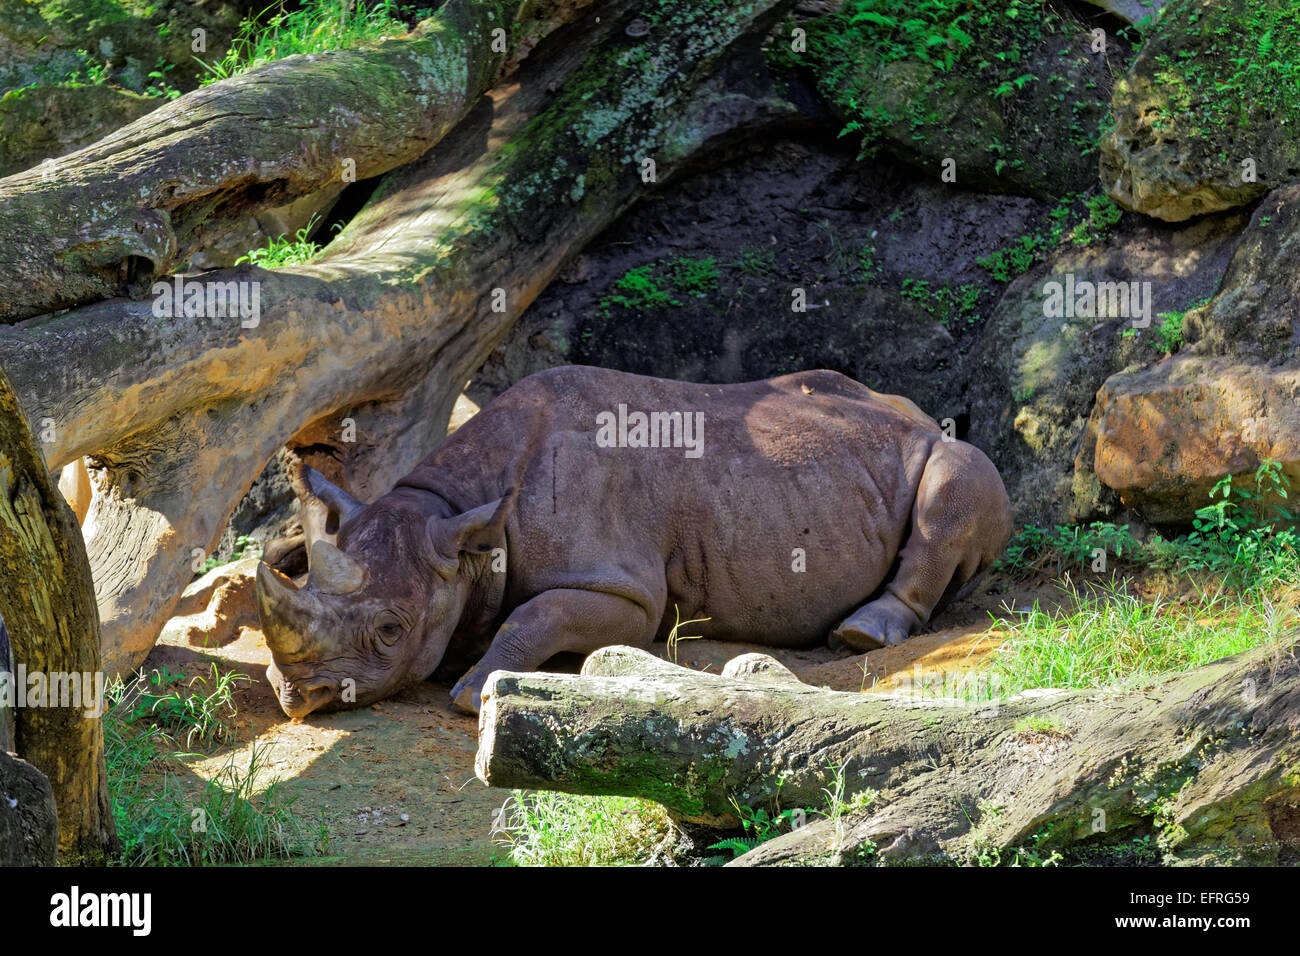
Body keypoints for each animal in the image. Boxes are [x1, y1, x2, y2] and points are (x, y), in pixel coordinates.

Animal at [256, 366, 1012, 718]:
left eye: (391, 630)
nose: (295, 698)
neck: (462, 521)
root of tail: (917, 416)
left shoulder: (627, 592)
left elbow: (537, 613)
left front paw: (474, 695)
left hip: (938, 448)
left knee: (957, 474)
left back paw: (860, 635)